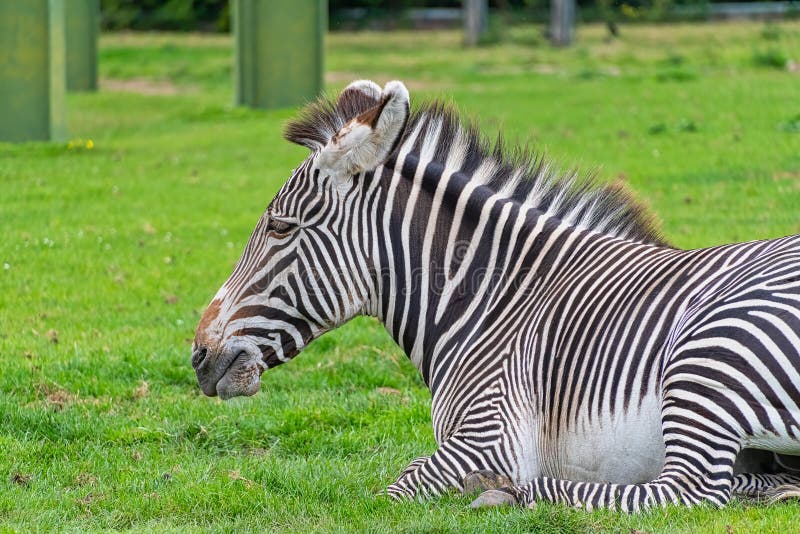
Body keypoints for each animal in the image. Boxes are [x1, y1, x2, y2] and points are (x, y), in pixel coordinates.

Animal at [191, 79, 800, 511]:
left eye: (280, 228)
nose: (197, 356)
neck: (493, 304)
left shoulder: (492, 434)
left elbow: (396, 486)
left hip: (709, 351)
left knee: (686, 490)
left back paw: (509, 493)